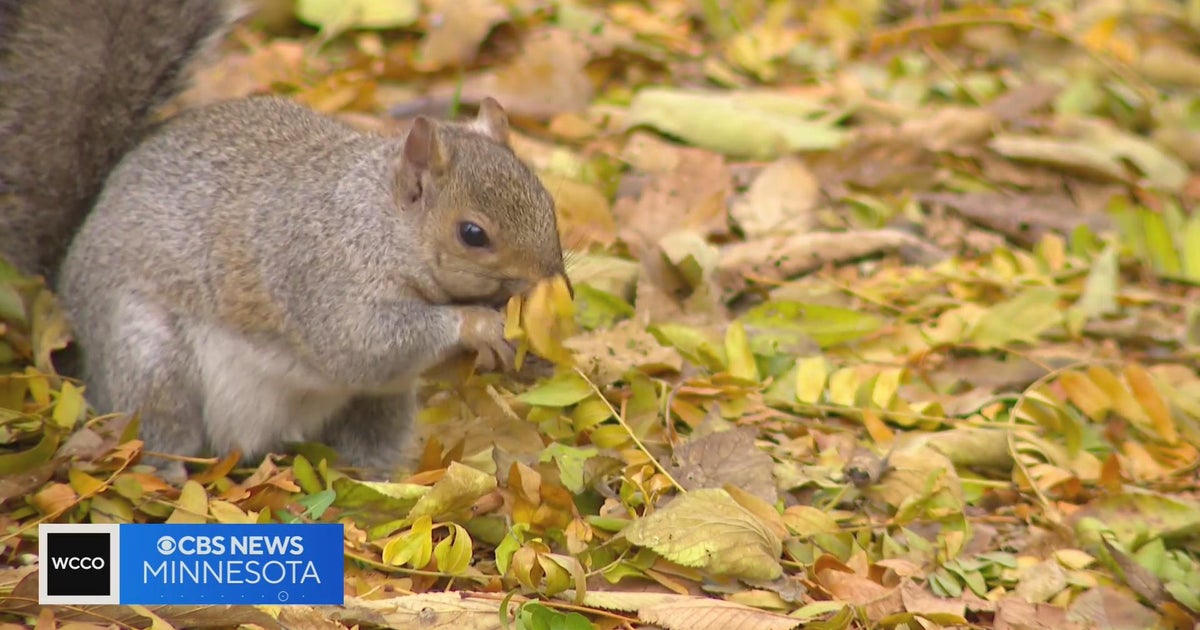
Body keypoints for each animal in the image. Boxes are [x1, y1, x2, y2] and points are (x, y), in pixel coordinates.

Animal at [0, 0, 569, 482]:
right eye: (473, 234)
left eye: (547, 197)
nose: (551, 279)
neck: (377, 223)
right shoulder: (321, 275)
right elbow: (364, 342)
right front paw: (477, 324)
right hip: (147, 361)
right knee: (158, 431)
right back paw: (169, 478)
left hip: (378, 403)